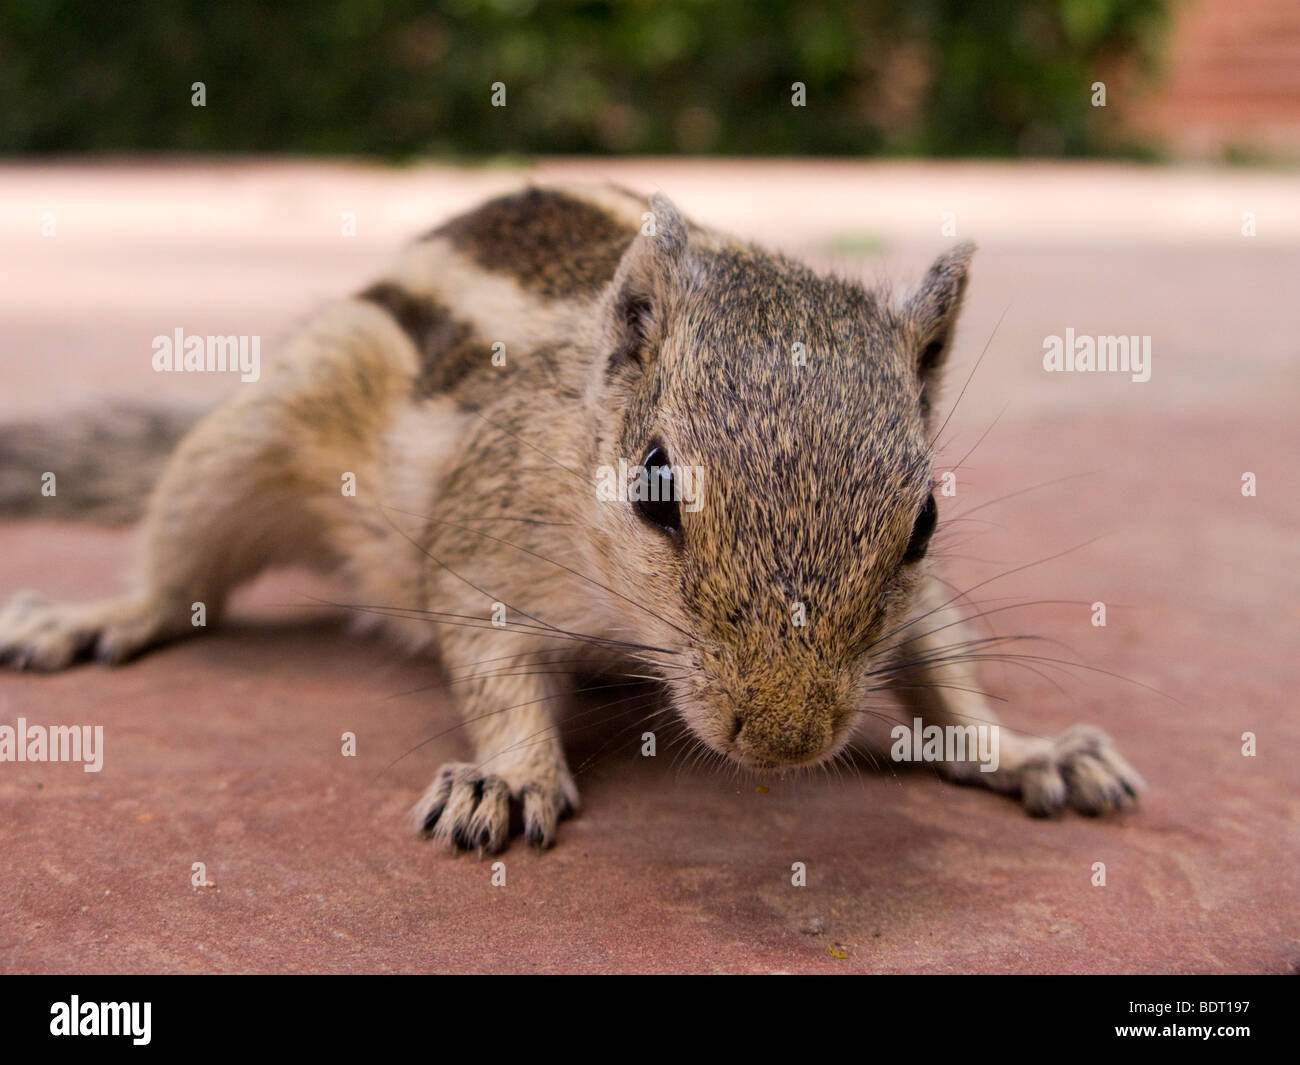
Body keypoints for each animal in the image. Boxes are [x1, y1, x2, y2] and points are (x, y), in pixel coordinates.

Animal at [0, 184, 1142, 853]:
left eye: (924, 519)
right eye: (654, 490)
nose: (785, 740)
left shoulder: (921, 595)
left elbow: (946, 668)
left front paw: (1026, 750)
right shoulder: (487, 532)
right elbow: (486, 656)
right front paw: (508, 778)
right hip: (254, 438)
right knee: (175, 574)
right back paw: (95, 614)